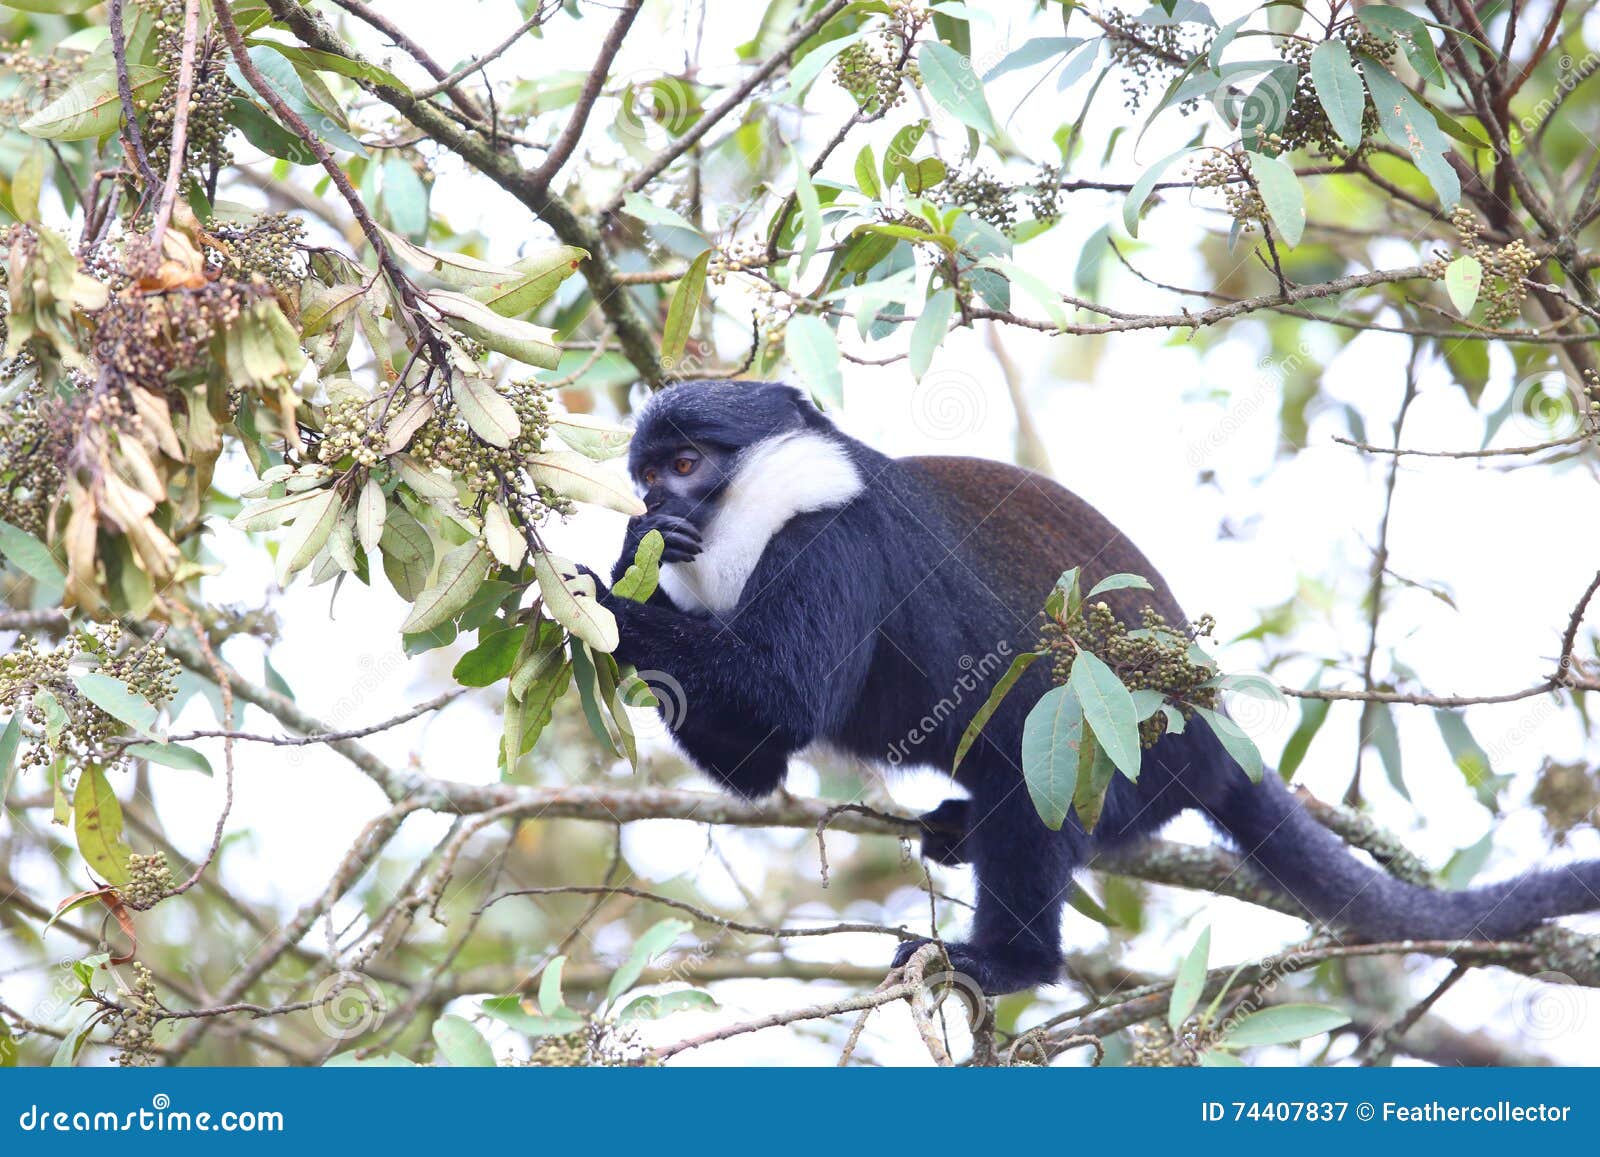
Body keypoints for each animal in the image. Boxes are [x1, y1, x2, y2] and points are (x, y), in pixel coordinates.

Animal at [591, 378, 1600, 995]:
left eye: (687, 465)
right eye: (646, 474)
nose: (656, 507)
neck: (773, 500)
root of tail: (1216, 732)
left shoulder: (831, 538)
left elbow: (783, 702)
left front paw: (595, 587)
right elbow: (758, 761)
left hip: (1125, 756)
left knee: (1037, 761)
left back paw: (1008, 960)